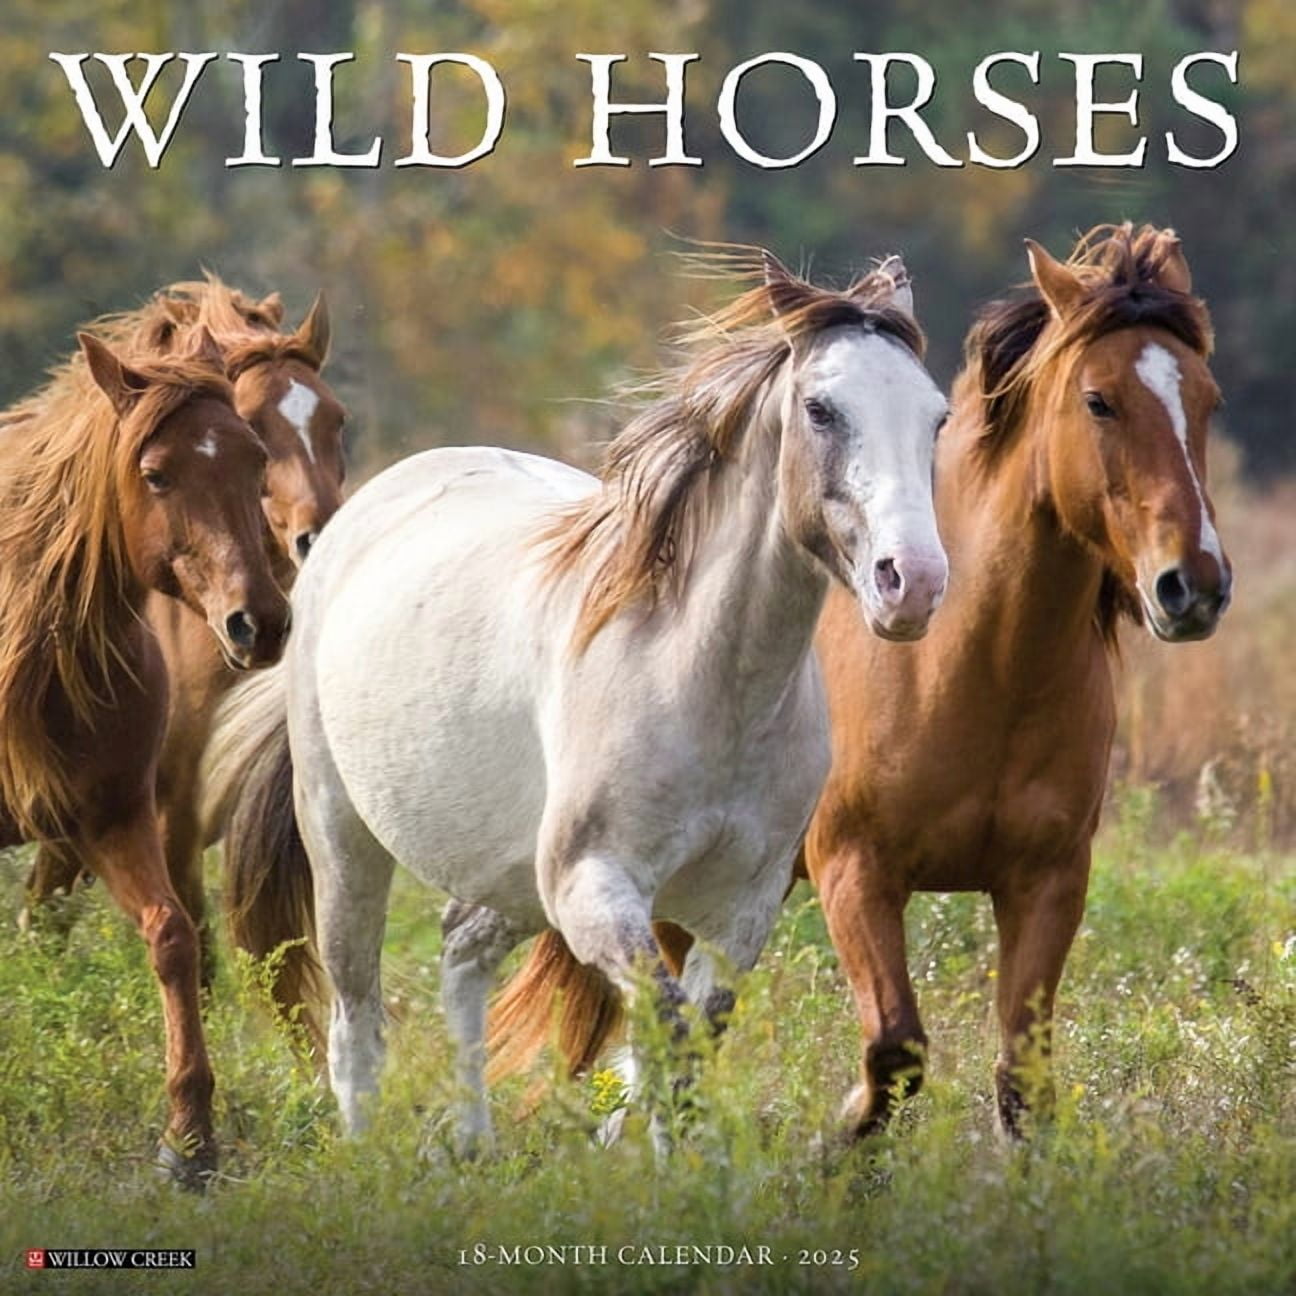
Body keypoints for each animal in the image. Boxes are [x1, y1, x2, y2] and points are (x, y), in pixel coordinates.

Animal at [0, 323, 290, 1186]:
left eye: (254, 460)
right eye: (155, 474)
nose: (260, 623)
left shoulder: (114, 819)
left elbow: (173, 937)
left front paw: (188, 1142)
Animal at [204, 250, 949, 1152]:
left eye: (937, 417)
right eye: (821, 409)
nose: (913, 583)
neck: (705, 683)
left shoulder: (742, 906)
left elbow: (688, 1052)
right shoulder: (595, 888)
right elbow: (663, 1036)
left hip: (512, 873)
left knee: (461, 949)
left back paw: (473, 1146)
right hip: (344, 839)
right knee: (356, 1024)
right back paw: (369, 1156)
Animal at [801, 223, 1230, 1139]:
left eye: (1208, 401)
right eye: (1099, 400)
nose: (1195, 586)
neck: (972, 670)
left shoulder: (1048, 882)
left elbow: (1021, 1080)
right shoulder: (854, 873)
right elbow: (893, 1050)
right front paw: (835, 1140)